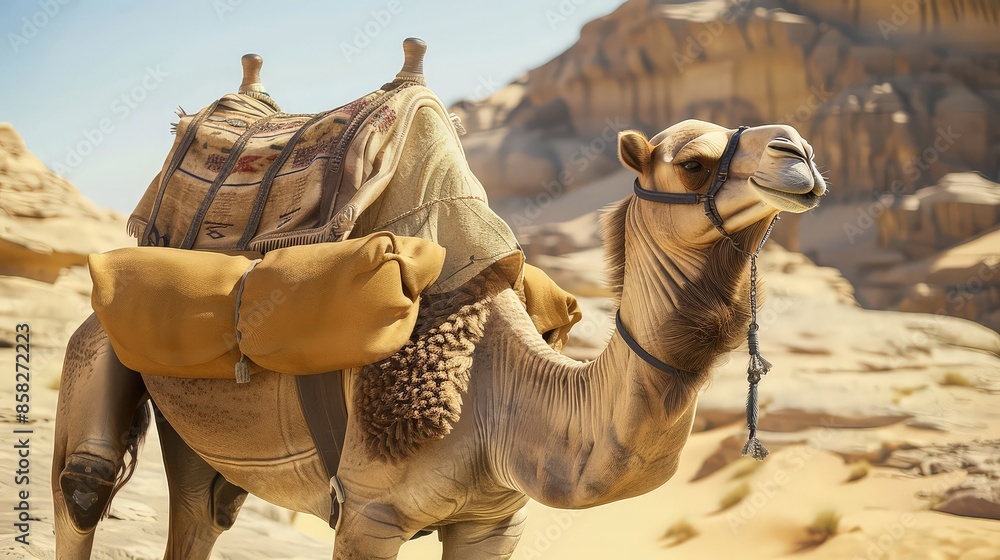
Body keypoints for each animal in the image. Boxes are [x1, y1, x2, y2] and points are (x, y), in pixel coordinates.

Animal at [52, 118, 825, 559]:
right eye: (693, 163)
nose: (800, 152)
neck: (502, 393)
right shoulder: (368, 514)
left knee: (205, 513)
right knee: (84, 490)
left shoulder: (494, 522)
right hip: (95, 345)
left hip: (198, 445)